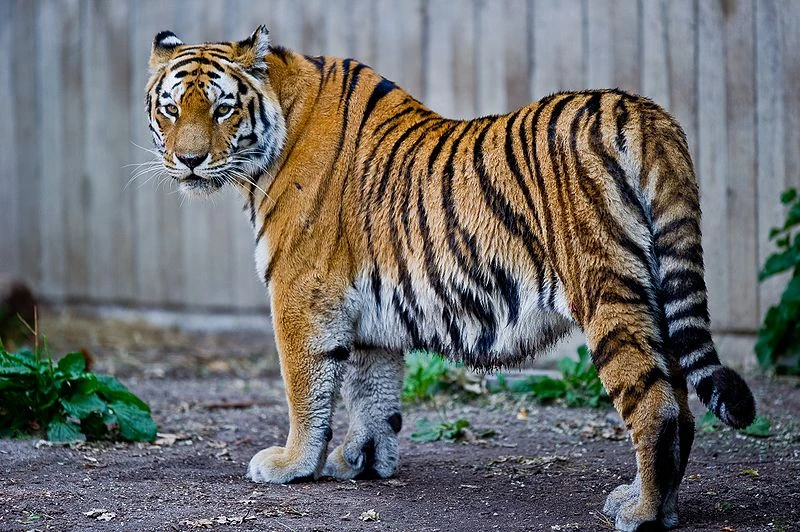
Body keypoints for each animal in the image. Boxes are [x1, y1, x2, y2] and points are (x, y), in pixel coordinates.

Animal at [145, 25, 756, 531]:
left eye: (222, 108)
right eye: (171, 109)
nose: (189, 160)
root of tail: (644, 112)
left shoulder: (300, 294)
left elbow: (306, 389)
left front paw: (291, 463)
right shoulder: (369, 311)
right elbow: (372, 391)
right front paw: (362, 462)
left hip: (607, 293)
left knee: (655, 406)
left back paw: (641, 513)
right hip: (656, 295)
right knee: (681, 405)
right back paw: (658, 505)